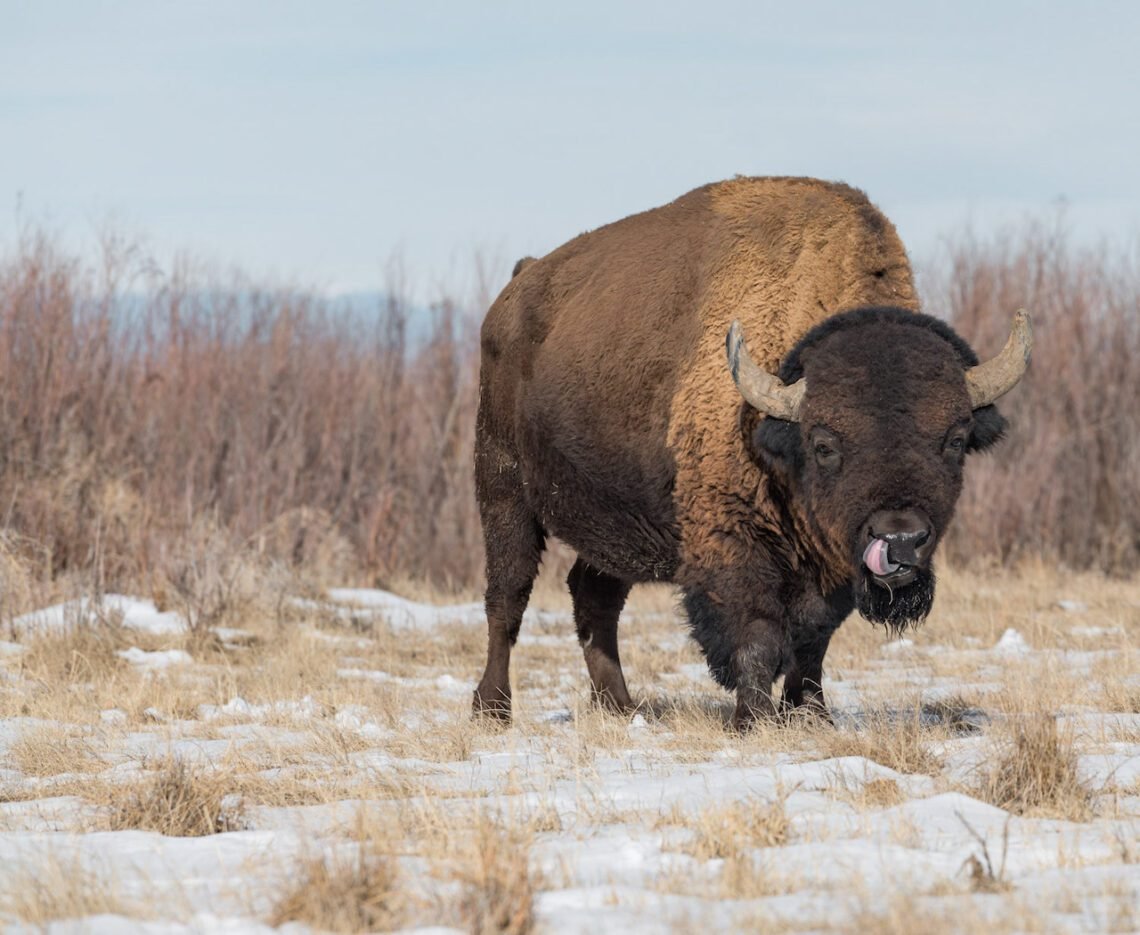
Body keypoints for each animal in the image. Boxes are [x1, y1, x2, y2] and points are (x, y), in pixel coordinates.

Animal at [472, 177, 1031, 728]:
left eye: (955, 441)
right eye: (824, 444)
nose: (900, 540)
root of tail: (515, 290)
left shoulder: (831, 565)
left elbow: (815, 637)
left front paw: (812, 712)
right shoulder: (735, 542)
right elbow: (759, 631)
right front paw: (753, 717)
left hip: (611, 521)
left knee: (593, 597)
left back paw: (618, 705)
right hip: (503, 488)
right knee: (508, 596)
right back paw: (493, 707)